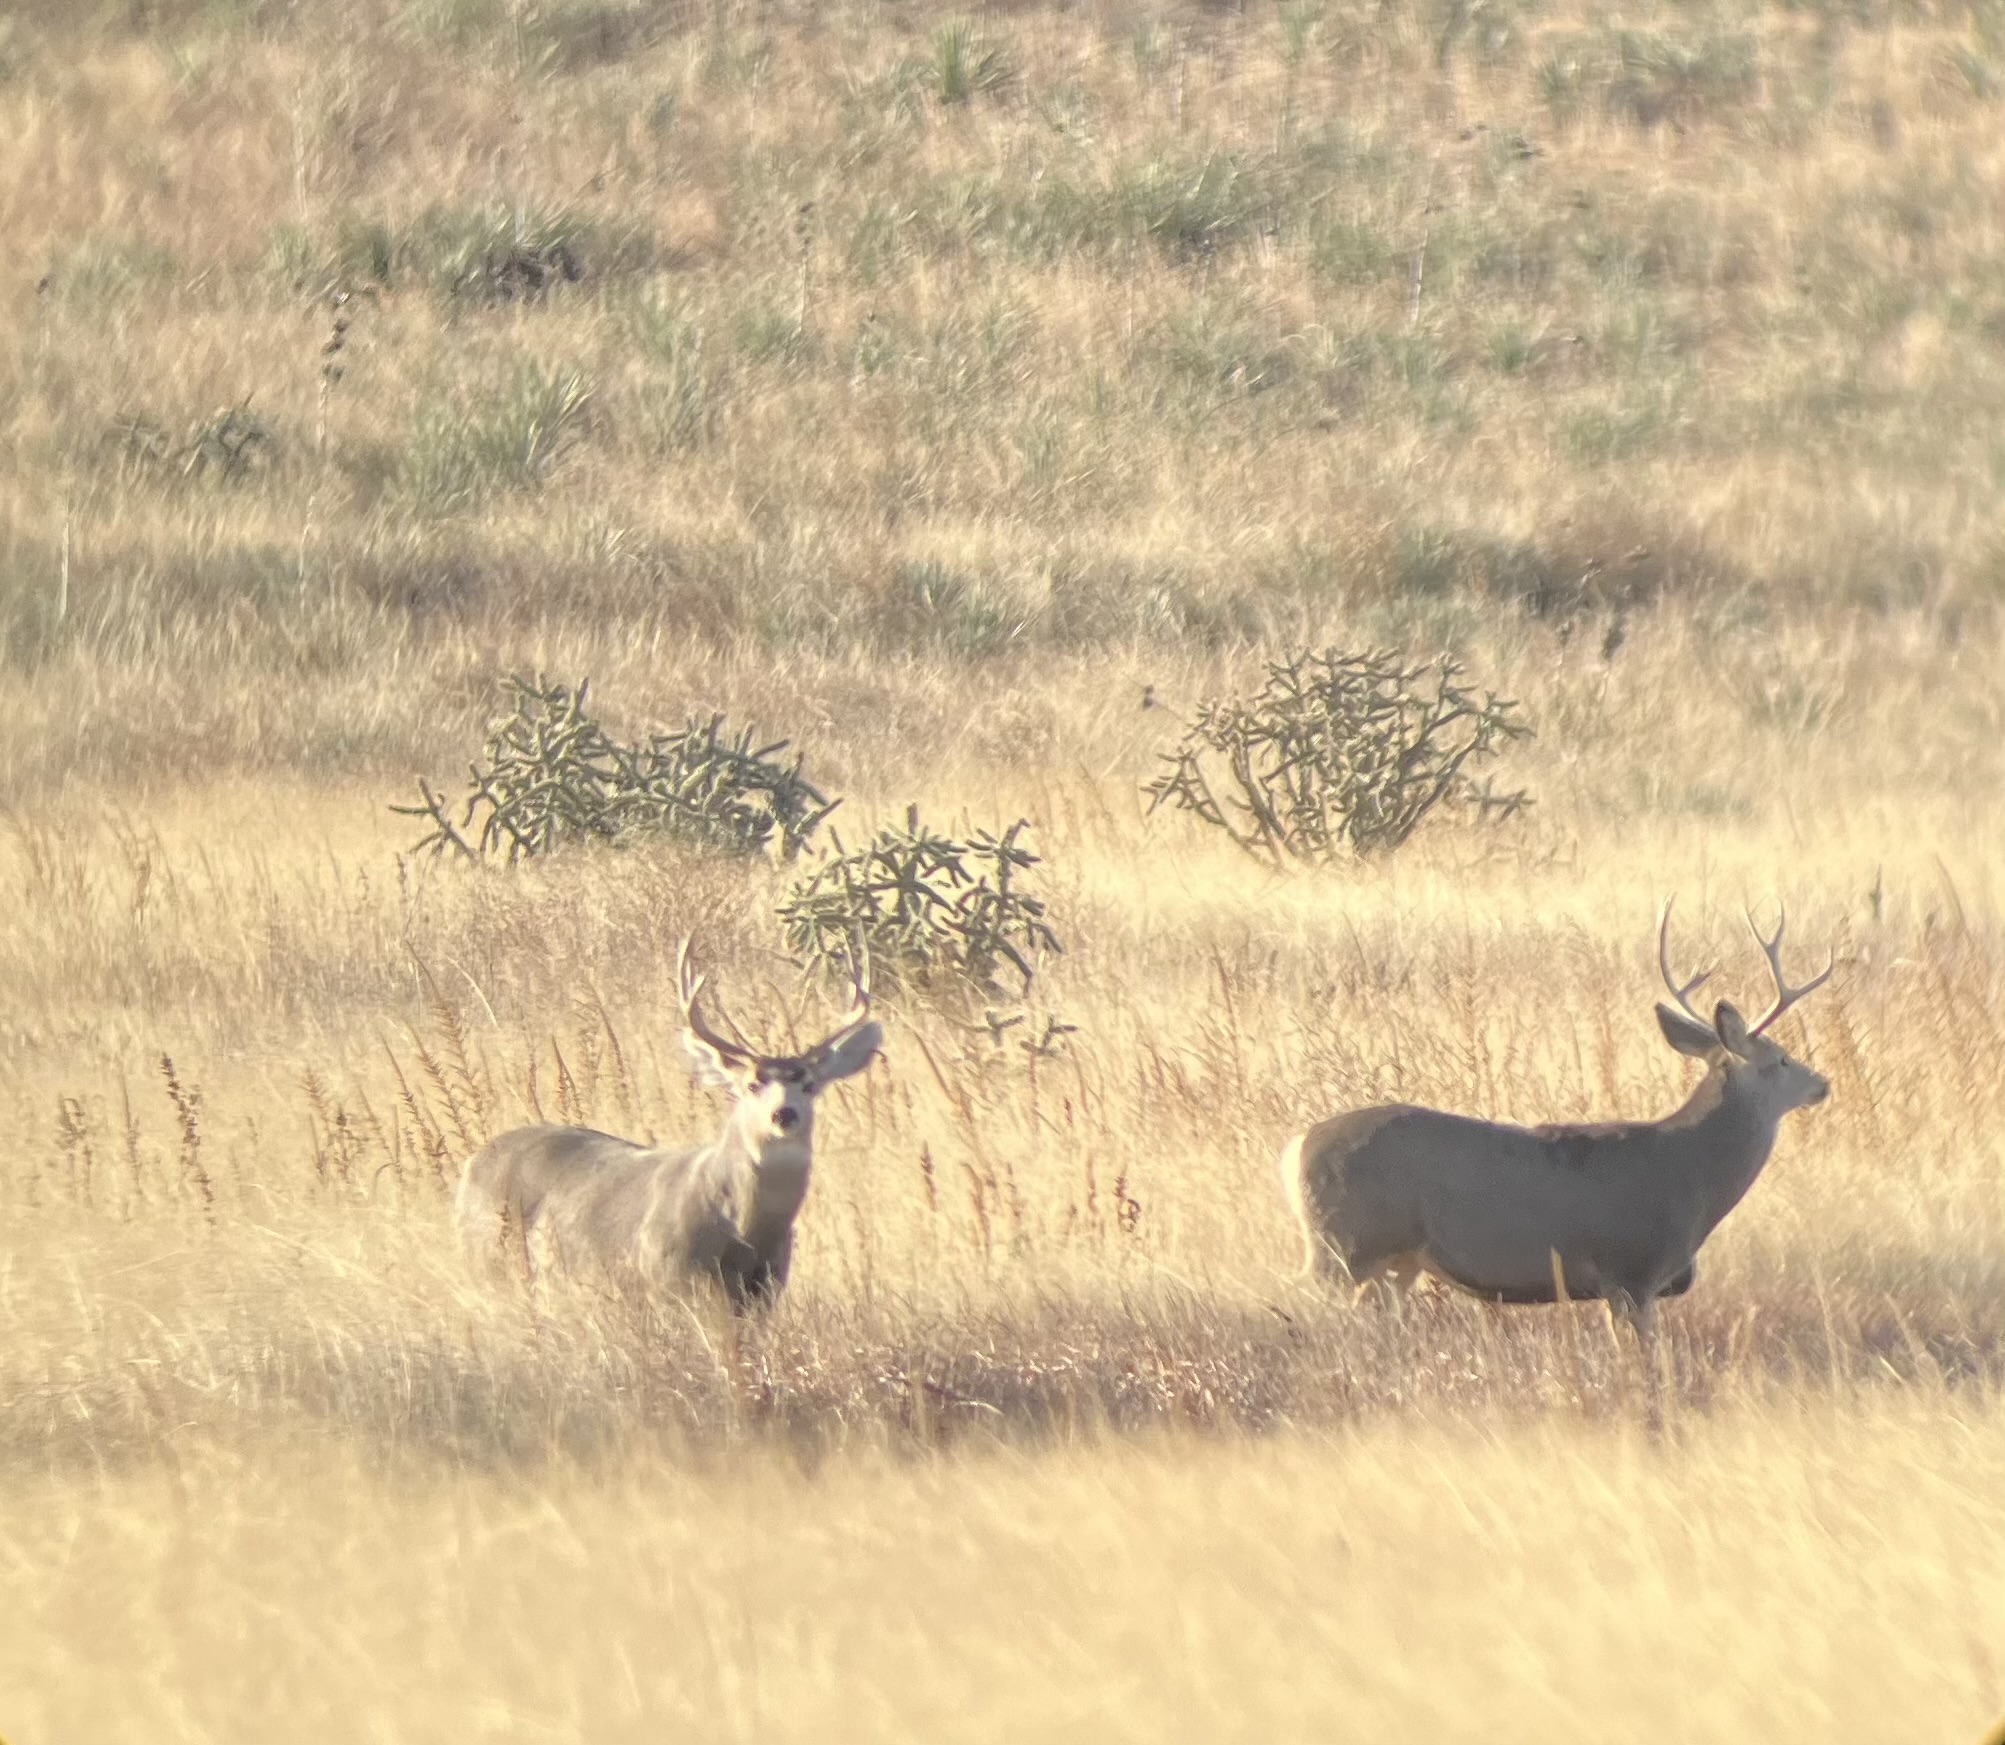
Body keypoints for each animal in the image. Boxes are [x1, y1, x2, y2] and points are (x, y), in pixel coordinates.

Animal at [456, 943, 882, 1312]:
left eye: (809, 1085)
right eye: (751, 1085)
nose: (784, 1114)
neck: (746, 1231)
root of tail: (471, 1164)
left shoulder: (765, 1289)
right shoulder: (670, 1276)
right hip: (489, 1260)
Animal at [1281, 901, 1835, 1373]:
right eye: (1783, 1059)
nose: (1823, 1083)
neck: (1691, 1173)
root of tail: (1294, 1148)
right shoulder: (1631, 1270)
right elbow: (1642, 1361)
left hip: (1395, 1260)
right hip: (1341, 1244)